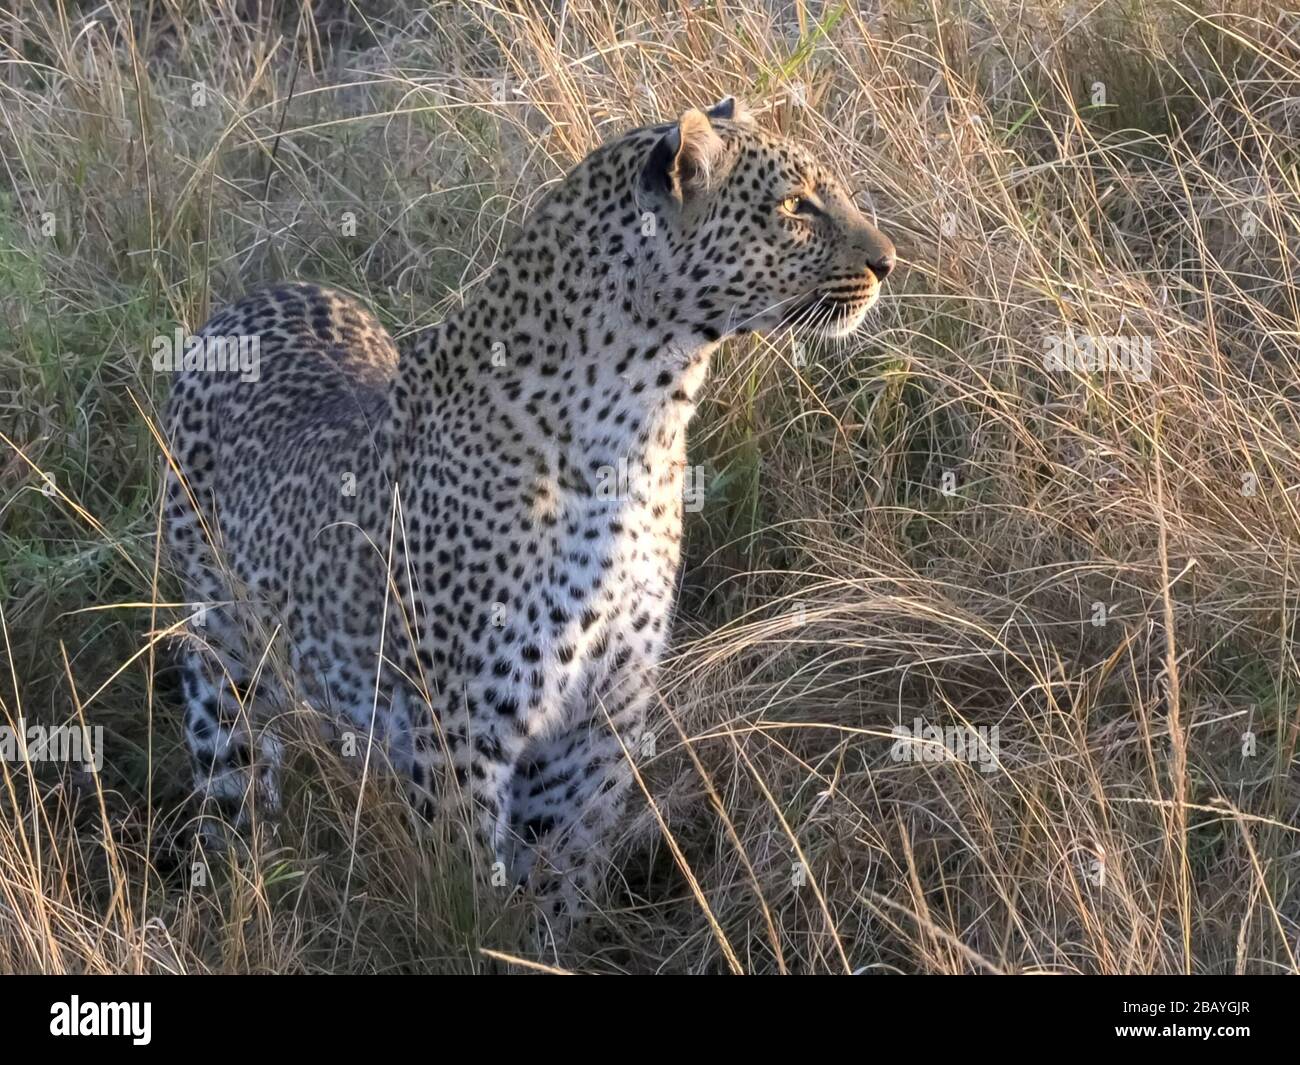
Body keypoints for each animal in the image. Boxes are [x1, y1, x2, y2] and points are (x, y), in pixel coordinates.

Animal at [162, 96, 896, 922]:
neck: (646, 426)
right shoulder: (462, 726)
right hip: (224, 648)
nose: (889, 261)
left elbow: (560, 880)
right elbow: (466, 890)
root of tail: (249, 299)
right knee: (229, 767)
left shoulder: (599, 728)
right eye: (796, 206)